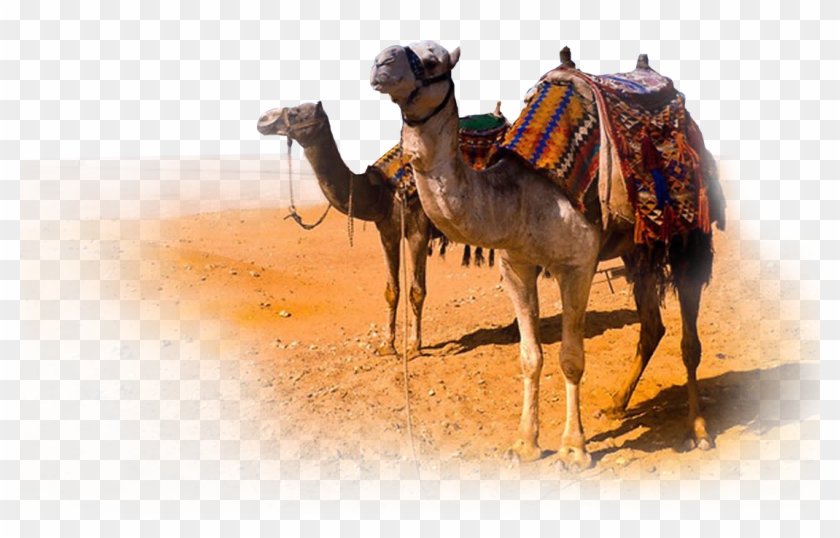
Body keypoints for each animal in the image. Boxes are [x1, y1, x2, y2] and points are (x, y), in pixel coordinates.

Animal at [370, 41, 722, 470]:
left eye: (432, 59)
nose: (381, 63)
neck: (520, 197)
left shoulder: (577, 266)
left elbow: (571, 358)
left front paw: (573, 449)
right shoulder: (516, 265)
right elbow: (530, 356)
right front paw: (525, 443)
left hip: (690, 234)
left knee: (690, 340)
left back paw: (698, 430)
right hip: (634, 248)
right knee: (652, 326)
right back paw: (616, 405)